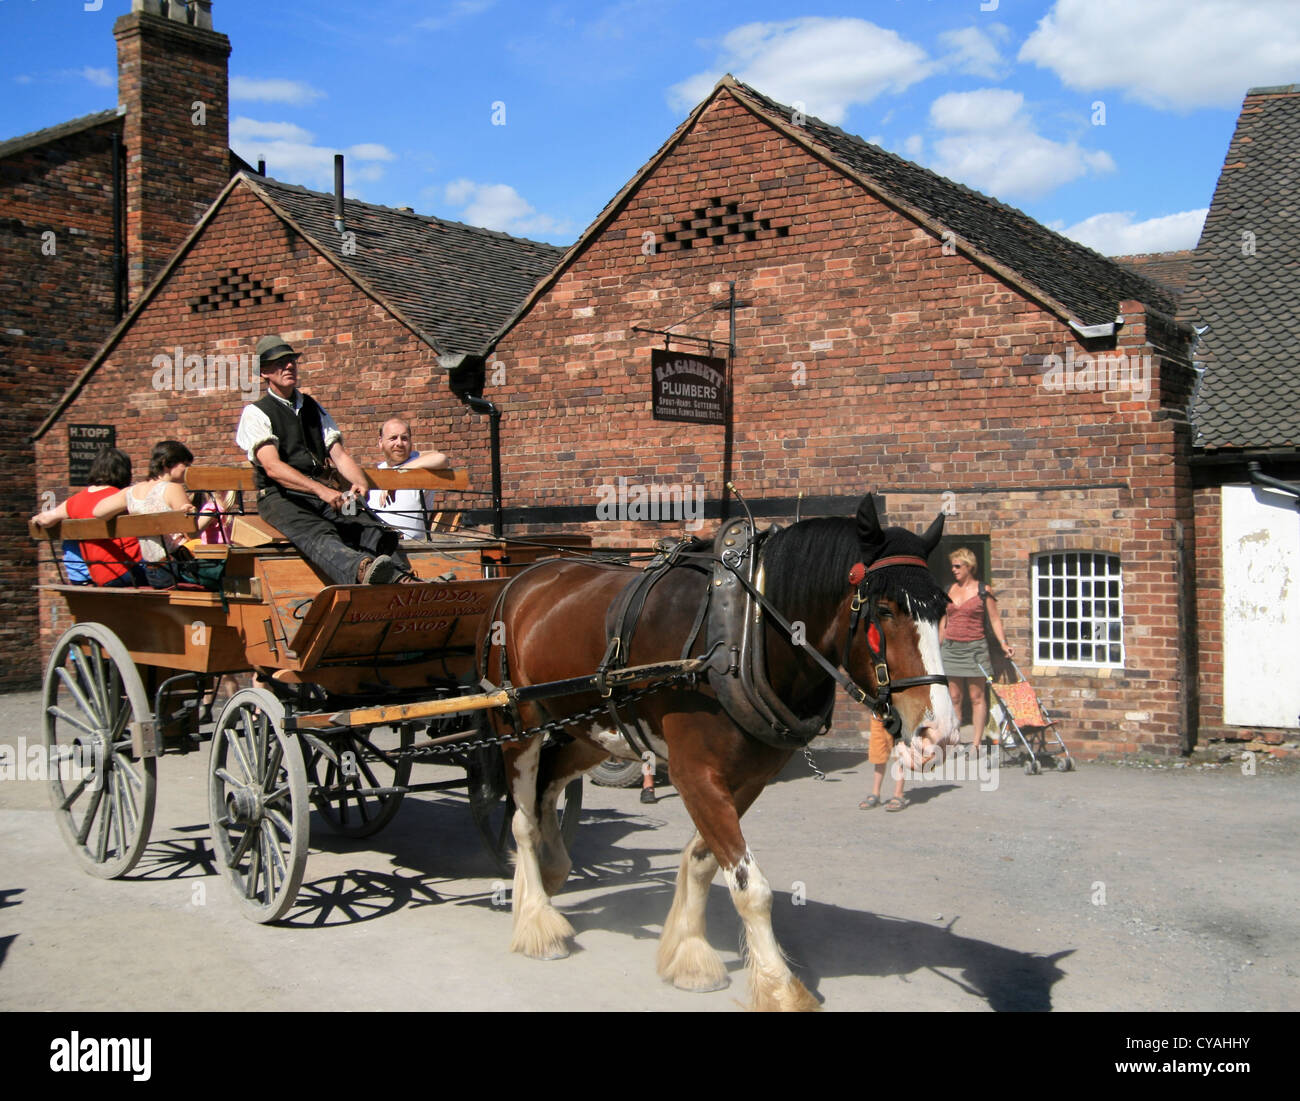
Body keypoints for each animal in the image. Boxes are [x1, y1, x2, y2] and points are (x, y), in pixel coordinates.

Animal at [474, 493, 958, 1010]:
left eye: (943, 608)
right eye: (884, 610)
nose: (940, 729)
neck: (743, 633)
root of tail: (522, 577)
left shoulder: (747, 779)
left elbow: (705, 862)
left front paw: (689, 955)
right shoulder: (695, 774)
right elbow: (752, 888)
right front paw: (781, 986)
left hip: (592, 729)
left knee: (548, 783)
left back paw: (551, 874)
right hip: (517, 723)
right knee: (522, 819)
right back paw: (536, 921)